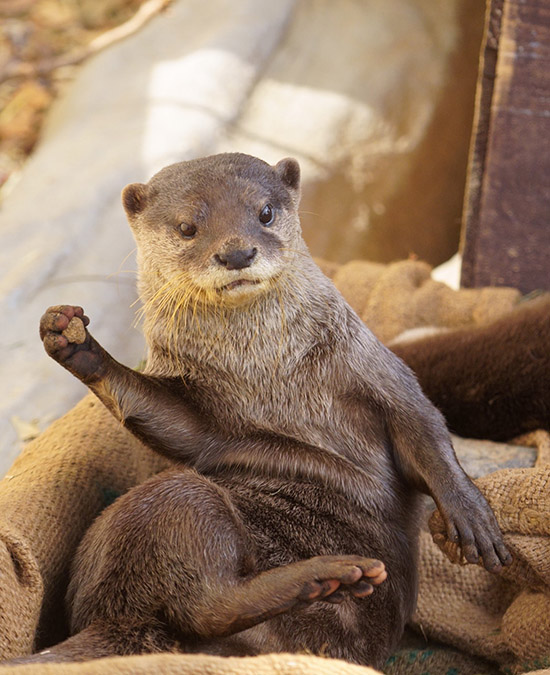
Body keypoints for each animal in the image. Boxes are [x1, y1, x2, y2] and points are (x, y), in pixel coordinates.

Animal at [27, 154, 509, 667]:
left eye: (265, 213)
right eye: (187, 227)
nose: (237, 253)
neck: (266, 370)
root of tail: (117, 621)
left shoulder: (375, 372)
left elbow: (424, 426)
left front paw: (472, 520)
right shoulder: (206, 412)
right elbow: (175, 425)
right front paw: (75, 345)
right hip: (174, 501)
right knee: (207, 603)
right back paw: (330, 575)